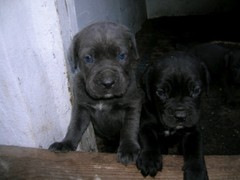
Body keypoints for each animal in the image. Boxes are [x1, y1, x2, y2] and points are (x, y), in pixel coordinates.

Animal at [48, 21, 143, 165]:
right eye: (88, 58)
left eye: (122, 56)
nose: (108, 82)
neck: (104, 99)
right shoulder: (81, 107)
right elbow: (75, 125)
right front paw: (65, 143)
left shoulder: (132, 104)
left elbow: (129, 127)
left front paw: (128, 149)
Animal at [137, 51, 210, 179]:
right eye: (161, 92)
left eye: (196, 90)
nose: (180, 115)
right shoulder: (145, 125)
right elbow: (148, 139)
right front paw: (149, 160)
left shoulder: (193, 131)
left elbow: (195, 149)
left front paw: (196, 172)